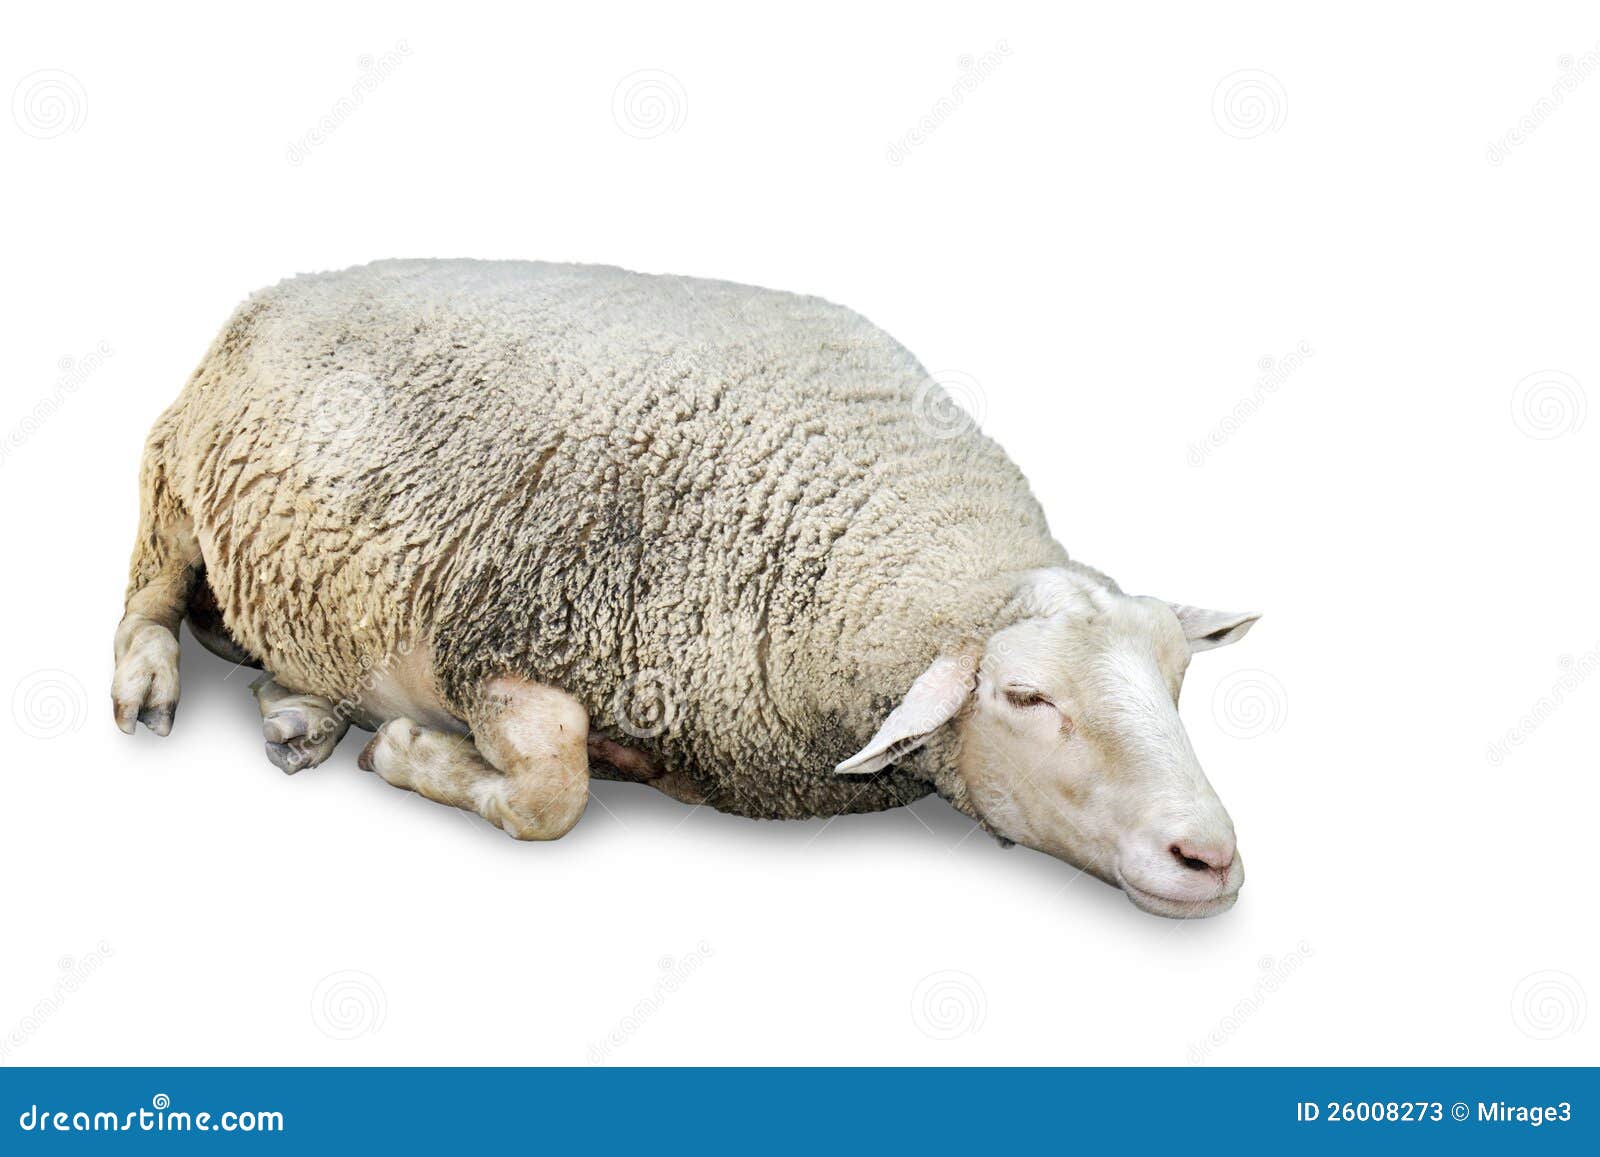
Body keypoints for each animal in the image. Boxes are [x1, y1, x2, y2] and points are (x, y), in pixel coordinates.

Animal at [112, 259, 1260, 916]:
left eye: (1176, 681)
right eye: (1025, 695)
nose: (1208, 857)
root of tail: (277, 290)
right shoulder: (502, 638)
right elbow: (553, 791)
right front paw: (407, 751)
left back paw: (299, 710)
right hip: (175, 474)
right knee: (150, 593)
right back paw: (157, 685)